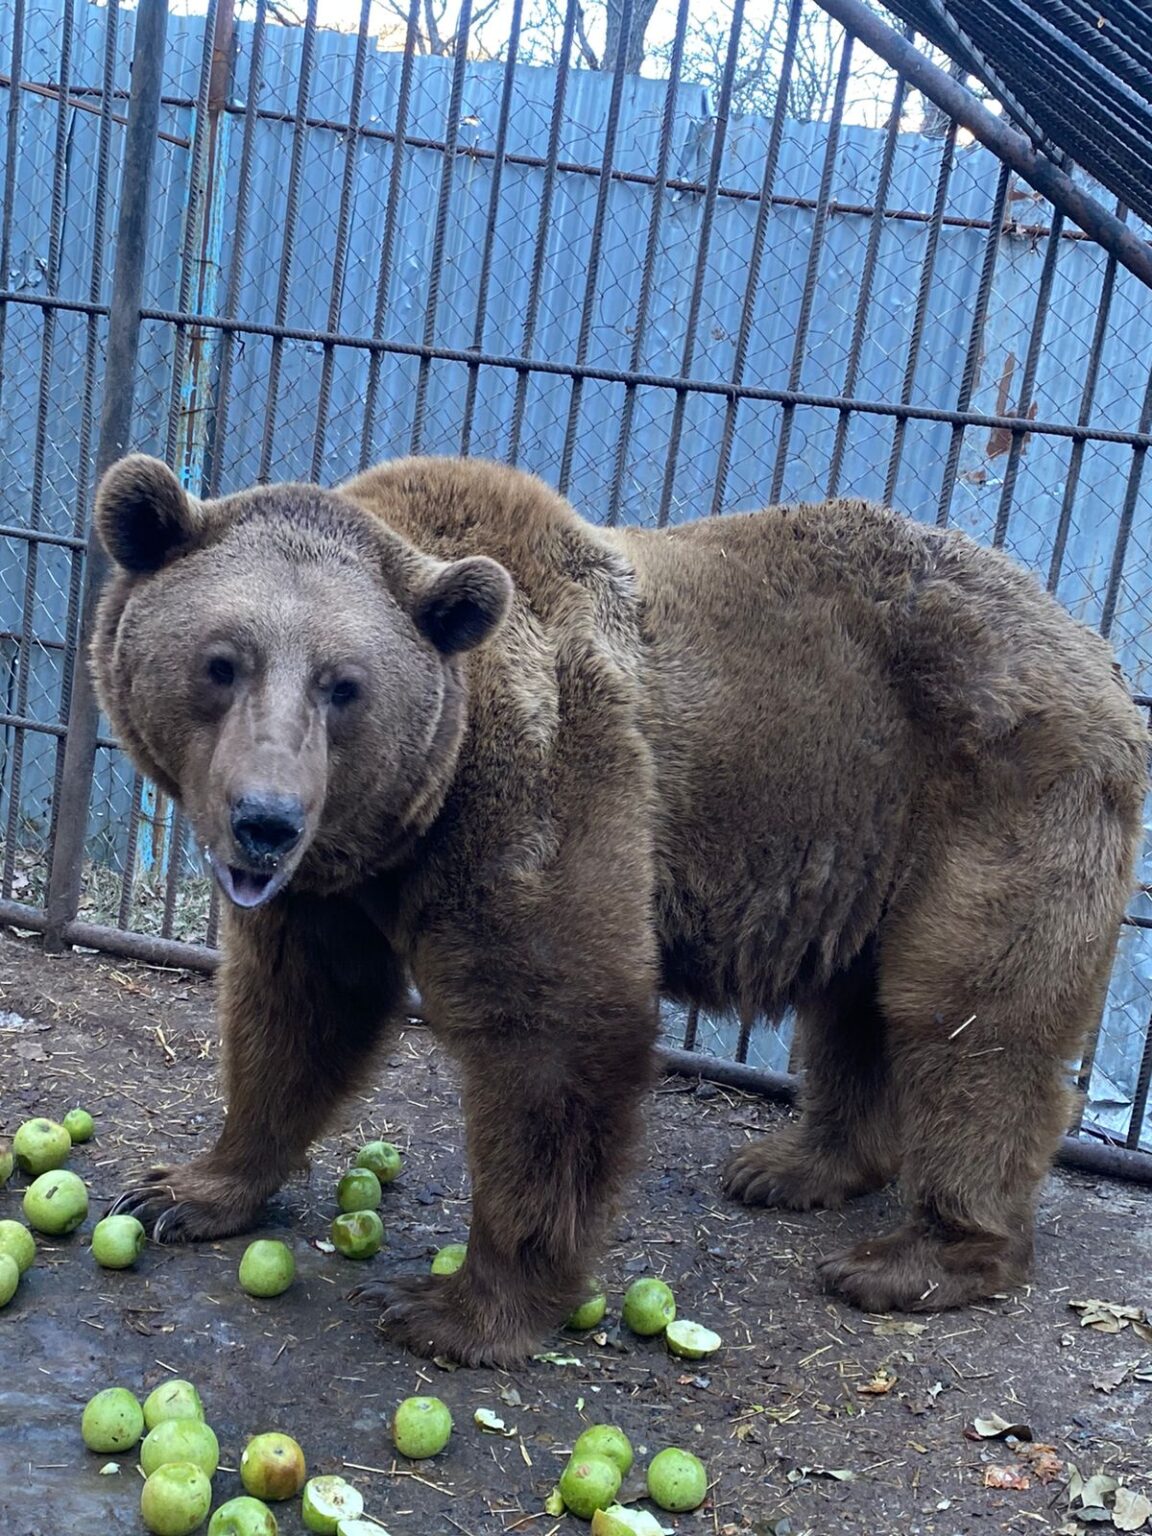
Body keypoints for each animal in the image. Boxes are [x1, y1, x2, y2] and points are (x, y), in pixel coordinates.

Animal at [92, 451, 1148, 1366]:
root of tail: (1095, 648)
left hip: (1002, 793)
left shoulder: (543, 777)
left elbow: (555, 1025)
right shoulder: (334, 889)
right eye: (222, 662)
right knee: (861, 1006)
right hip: (864, 835)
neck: (407, 822)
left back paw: (922, 1256)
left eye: (343, 686)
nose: (264, 822)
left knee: (972, 1018)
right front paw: (185, 1187)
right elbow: (299, 1008)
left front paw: (455, 1306)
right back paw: (794, 1165)